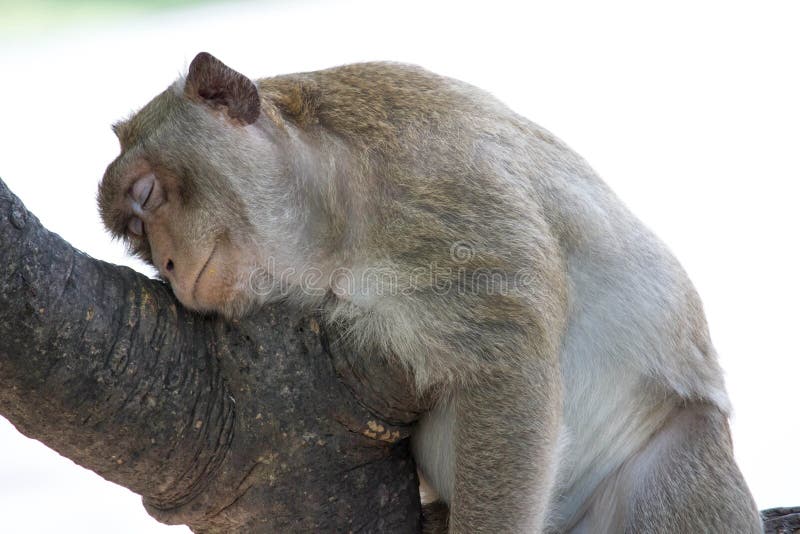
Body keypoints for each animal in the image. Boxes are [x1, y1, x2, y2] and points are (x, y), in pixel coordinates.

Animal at [98, 52, 762, 533]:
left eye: (147, 195)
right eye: (136, 240)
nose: (169, 265)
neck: (335, 232)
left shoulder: (441, 191)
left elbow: (507, 369)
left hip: (680, 460)